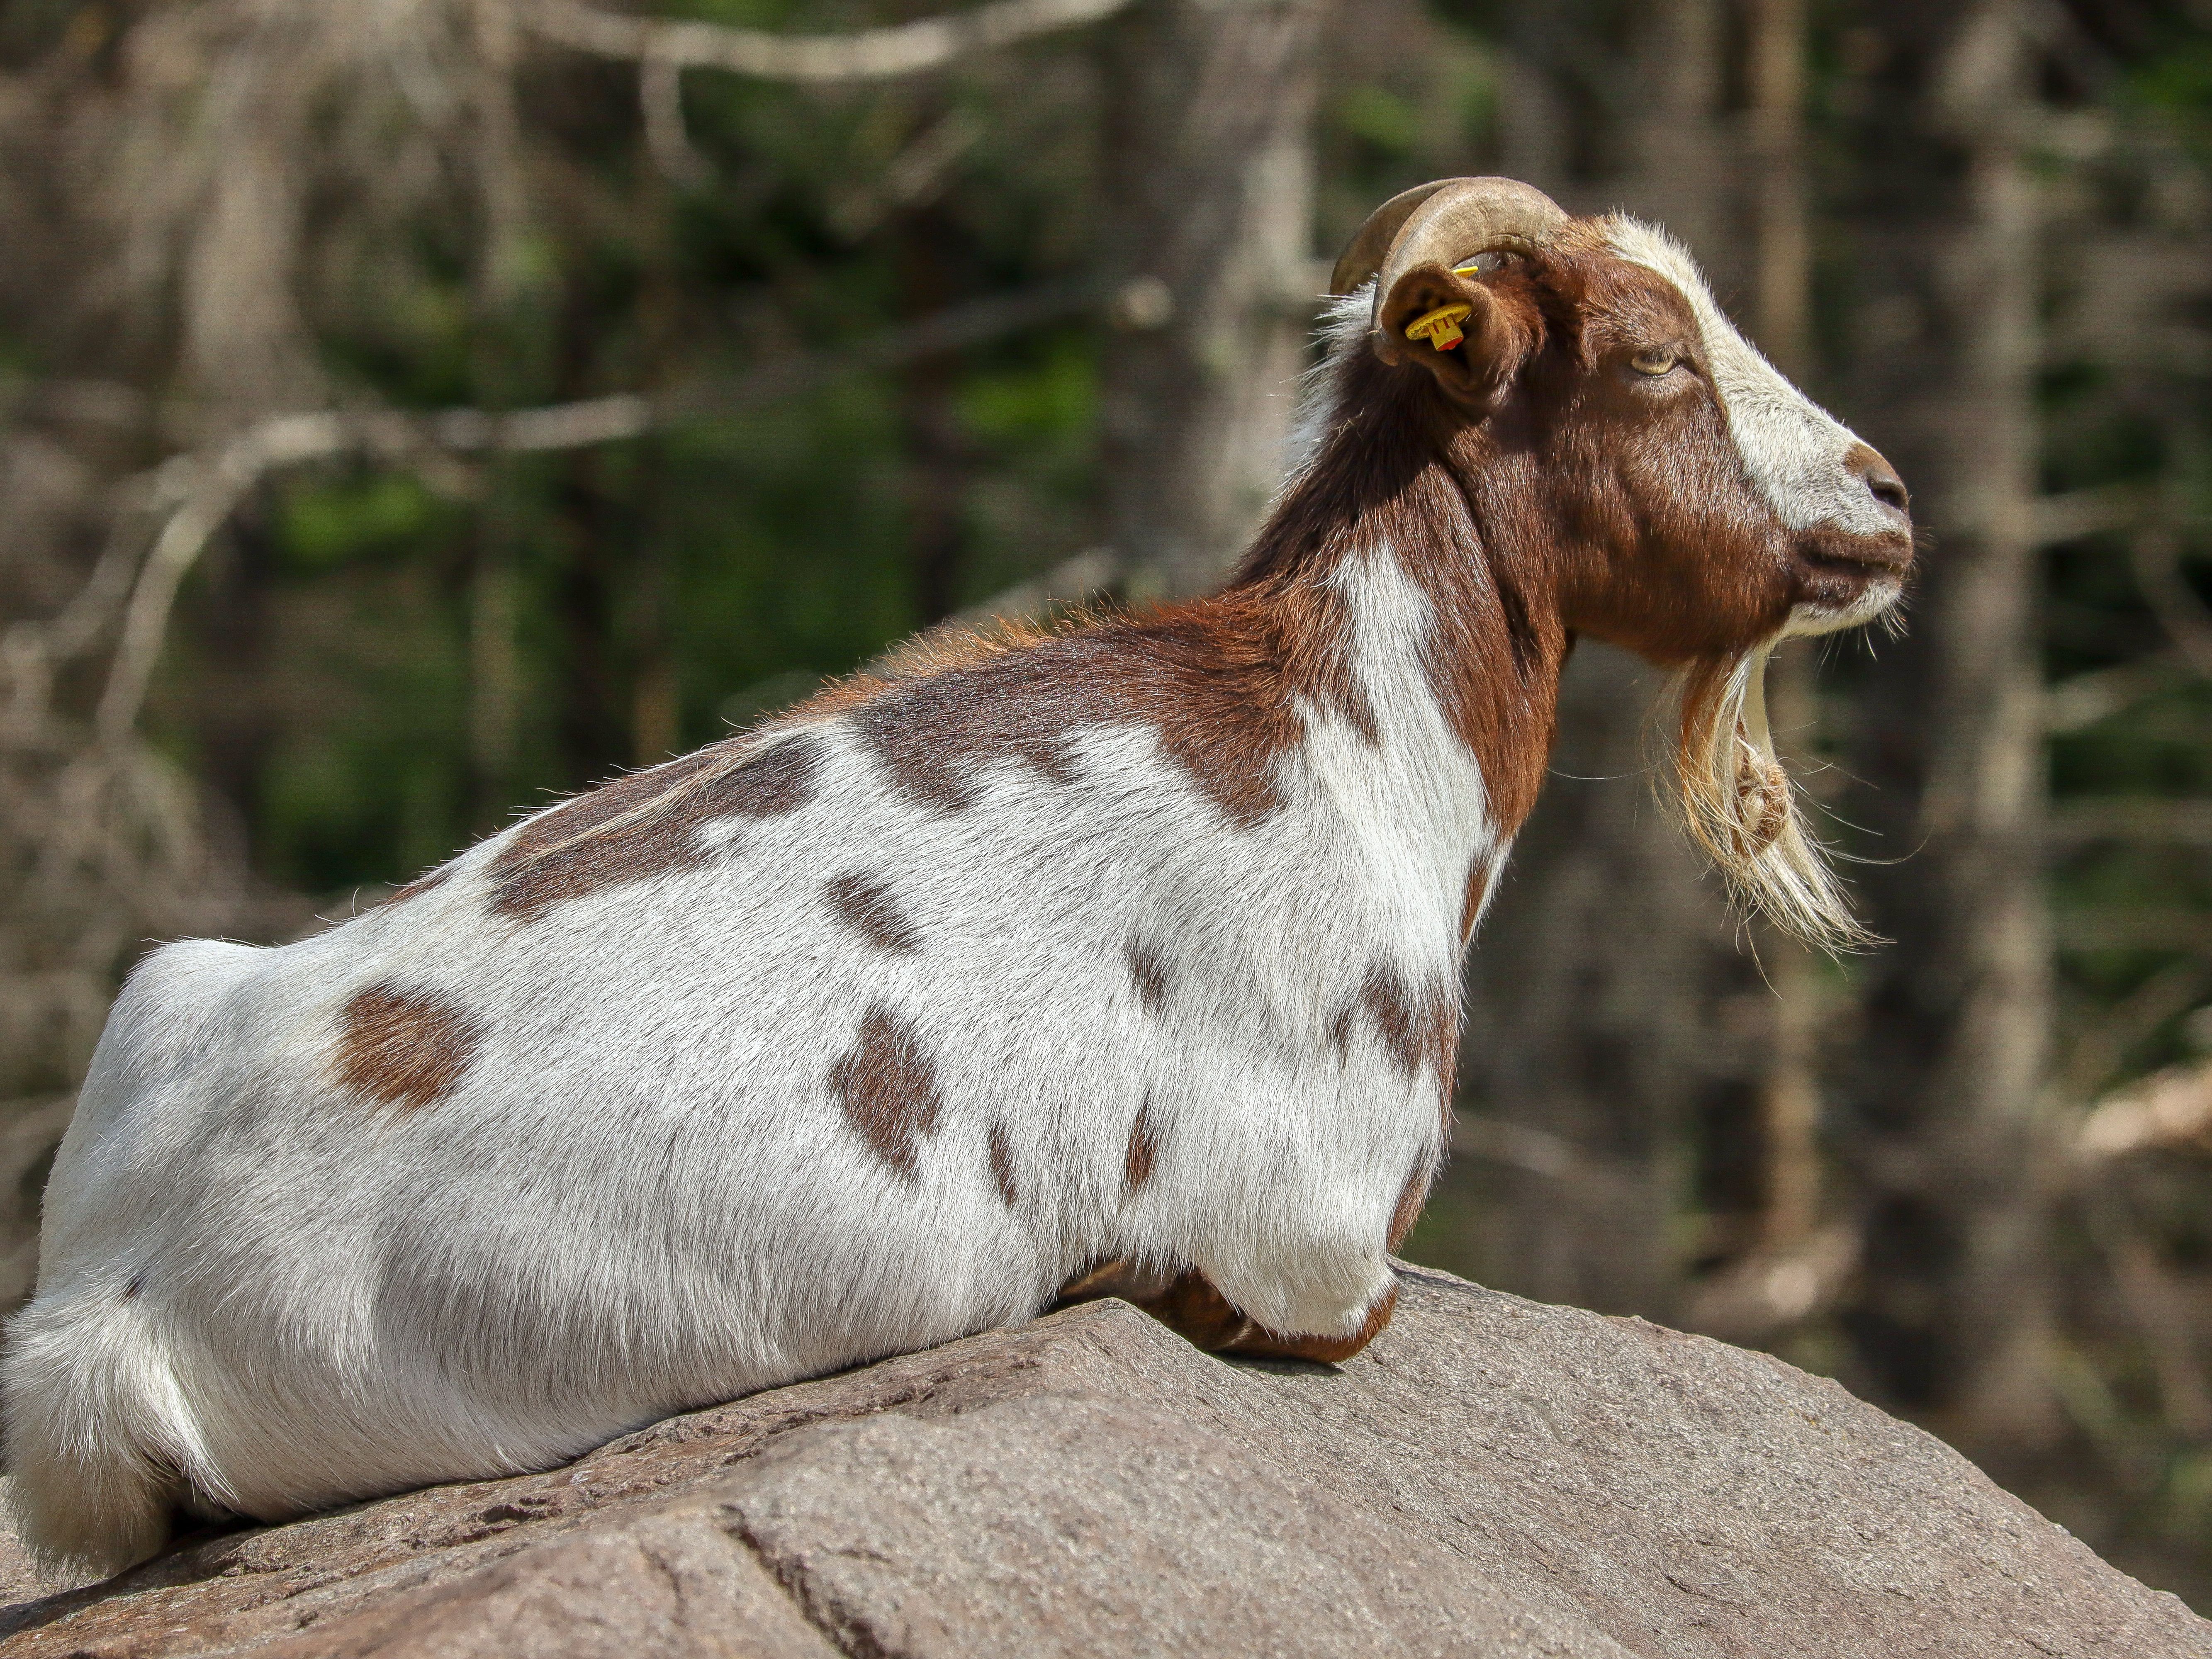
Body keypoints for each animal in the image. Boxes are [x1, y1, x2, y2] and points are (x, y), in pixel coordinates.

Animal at [4, 178, 1914, 1578]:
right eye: (1654, 357)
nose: (1889, 495)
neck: (1342, 721)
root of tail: (104, 1305)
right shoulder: (1308, 1228)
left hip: (166, 976)